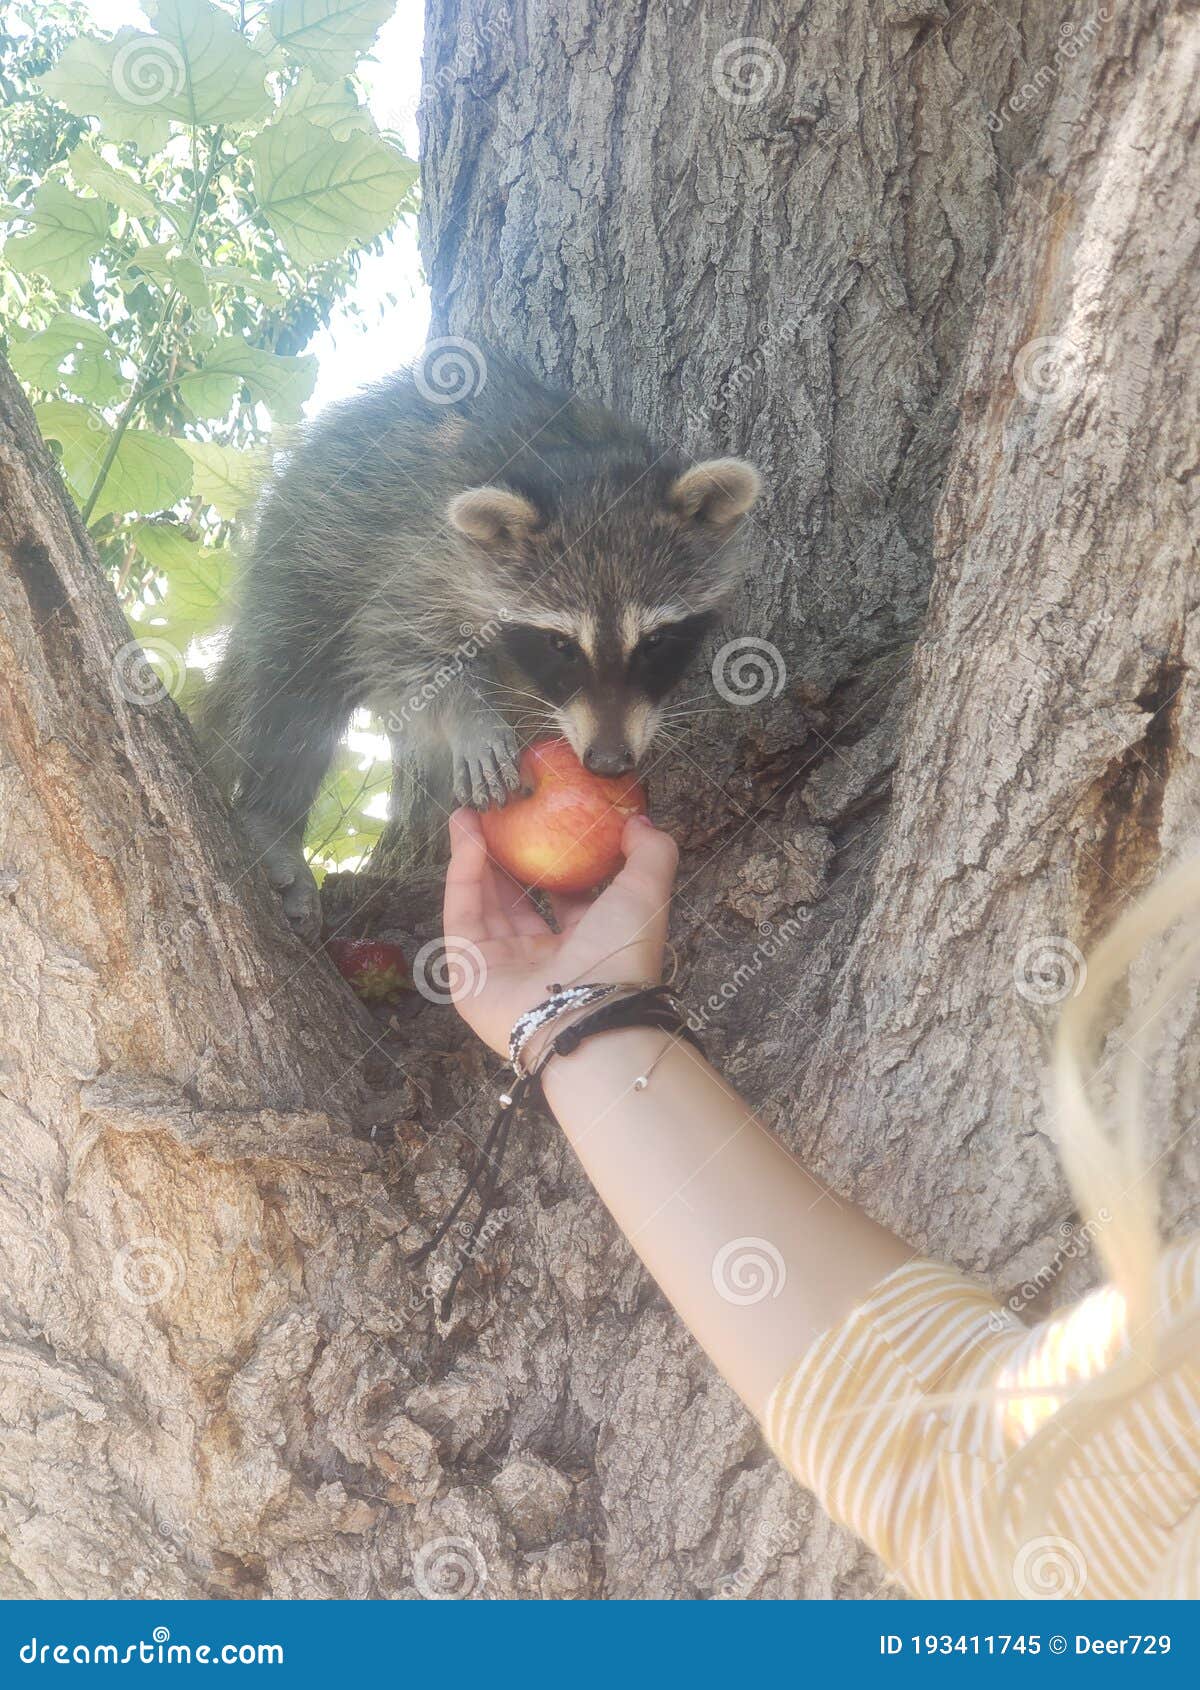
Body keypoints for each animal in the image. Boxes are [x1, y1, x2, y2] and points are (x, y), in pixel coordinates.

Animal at [203, 348, 761, 939]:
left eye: (655, 641)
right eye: (561, 644)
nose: (607, 762)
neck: (584, 467)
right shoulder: (421, 549)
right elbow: (402, 644)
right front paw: (468, 713)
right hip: (312, 544)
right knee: (293, 694)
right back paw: (272, 817)